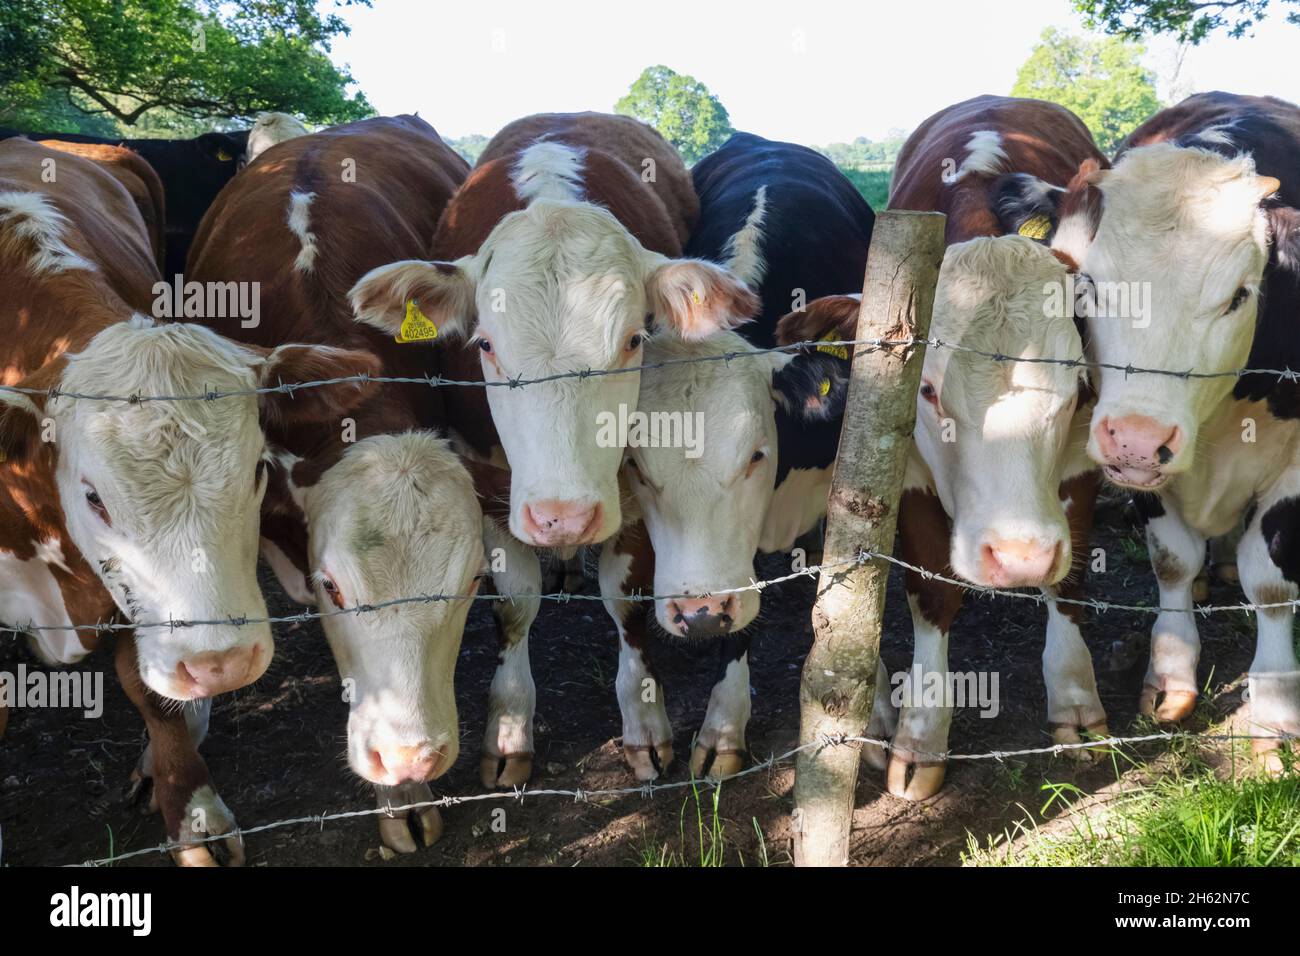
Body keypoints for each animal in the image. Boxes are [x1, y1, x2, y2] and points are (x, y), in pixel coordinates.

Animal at [350, 112, 757, 784]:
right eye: (485, 344)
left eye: (634, 338)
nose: (562, 516)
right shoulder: (489, 482)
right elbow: (515, 604)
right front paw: (509, 729)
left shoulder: (628, 490)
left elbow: (625, 600)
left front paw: (643, 722)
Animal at [1024, 92, 1300, 770]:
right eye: (1089, 285)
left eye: (1239, 296)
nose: (1136, 439)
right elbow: (1172, 559)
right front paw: (1172, 672)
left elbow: (1270, 580)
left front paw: (1277, 711)